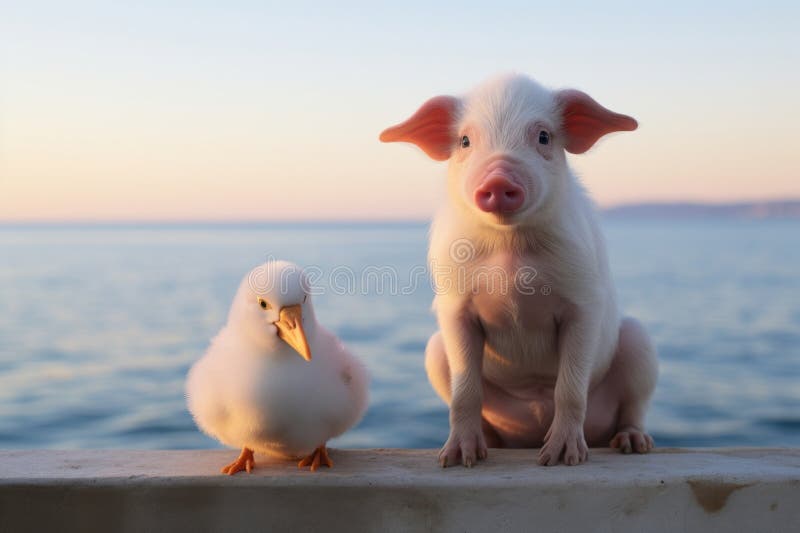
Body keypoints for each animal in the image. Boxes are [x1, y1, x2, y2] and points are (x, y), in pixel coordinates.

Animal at [380, 74, 658, 467]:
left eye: (542, 136)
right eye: (465, 140)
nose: (498, 179)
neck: (509, 250)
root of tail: (526, 435)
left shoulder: (584, 300)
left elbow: (570, 388)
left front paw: (560, 458)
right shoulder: (454, 305)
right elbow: (465, 393)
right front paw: (456, 460)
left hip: (639, 343)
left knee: (633, 405)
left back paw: (632, 443)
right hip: (435, 352)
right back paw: (491, 446)